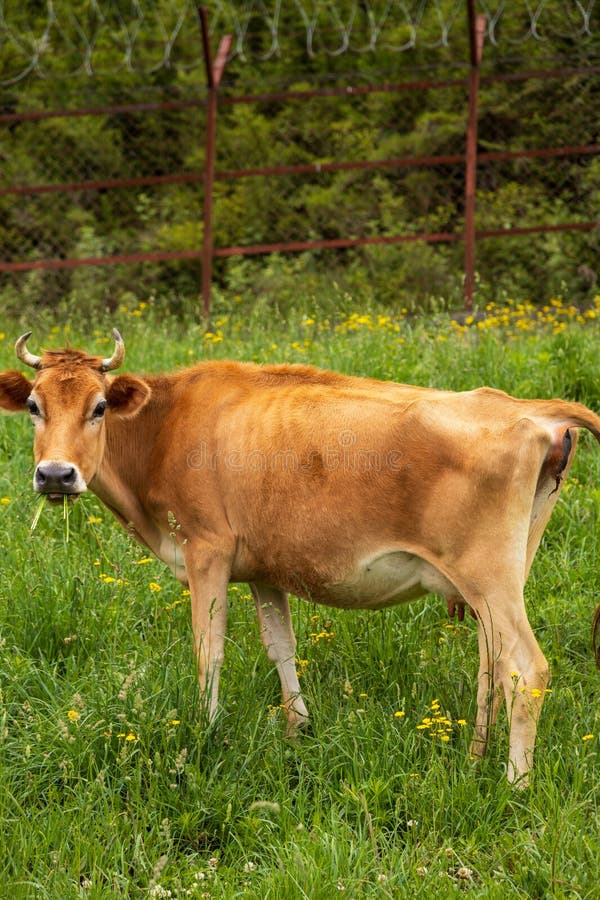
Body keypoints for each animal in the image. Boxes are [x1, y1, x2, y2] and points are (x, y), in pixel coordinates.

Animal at [0, 329, 599, 785]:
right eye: (33, 406)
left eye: (99, 407)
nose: (55, 474)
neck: (166, 427)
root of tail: (529, 409)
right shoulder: (263, 567)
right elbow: (281, 647)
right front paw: (298, 730)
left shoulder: (206, 550)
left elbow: (209, 650)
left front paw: (209, 732)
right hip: (501, 575)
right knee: (491, 662)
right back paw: (475, 759)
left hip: (488, 574)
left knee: (527, 667)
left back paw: (514, 783)